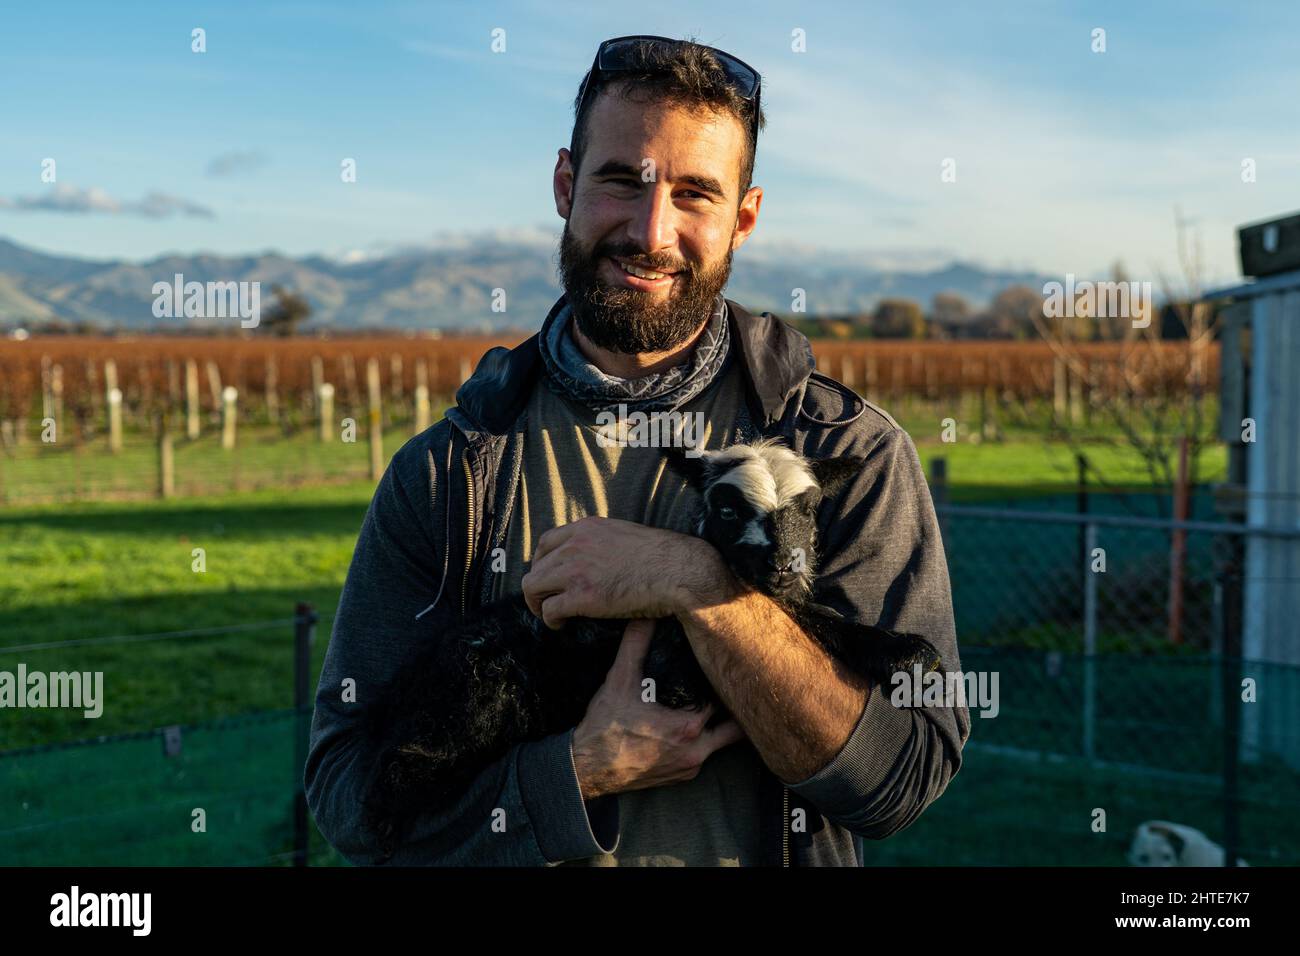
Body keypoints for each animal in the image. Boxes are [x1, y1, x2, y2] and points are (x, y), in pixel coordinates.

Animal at [359, 437, 942, 859]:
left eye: (812, 508)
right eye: (726, 511)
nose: (784, 564)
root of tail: (403, 686)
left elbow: (819, 618)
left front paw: (905, 652)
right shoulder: (667, 664)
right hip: (475, 701)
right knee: (400, 770)